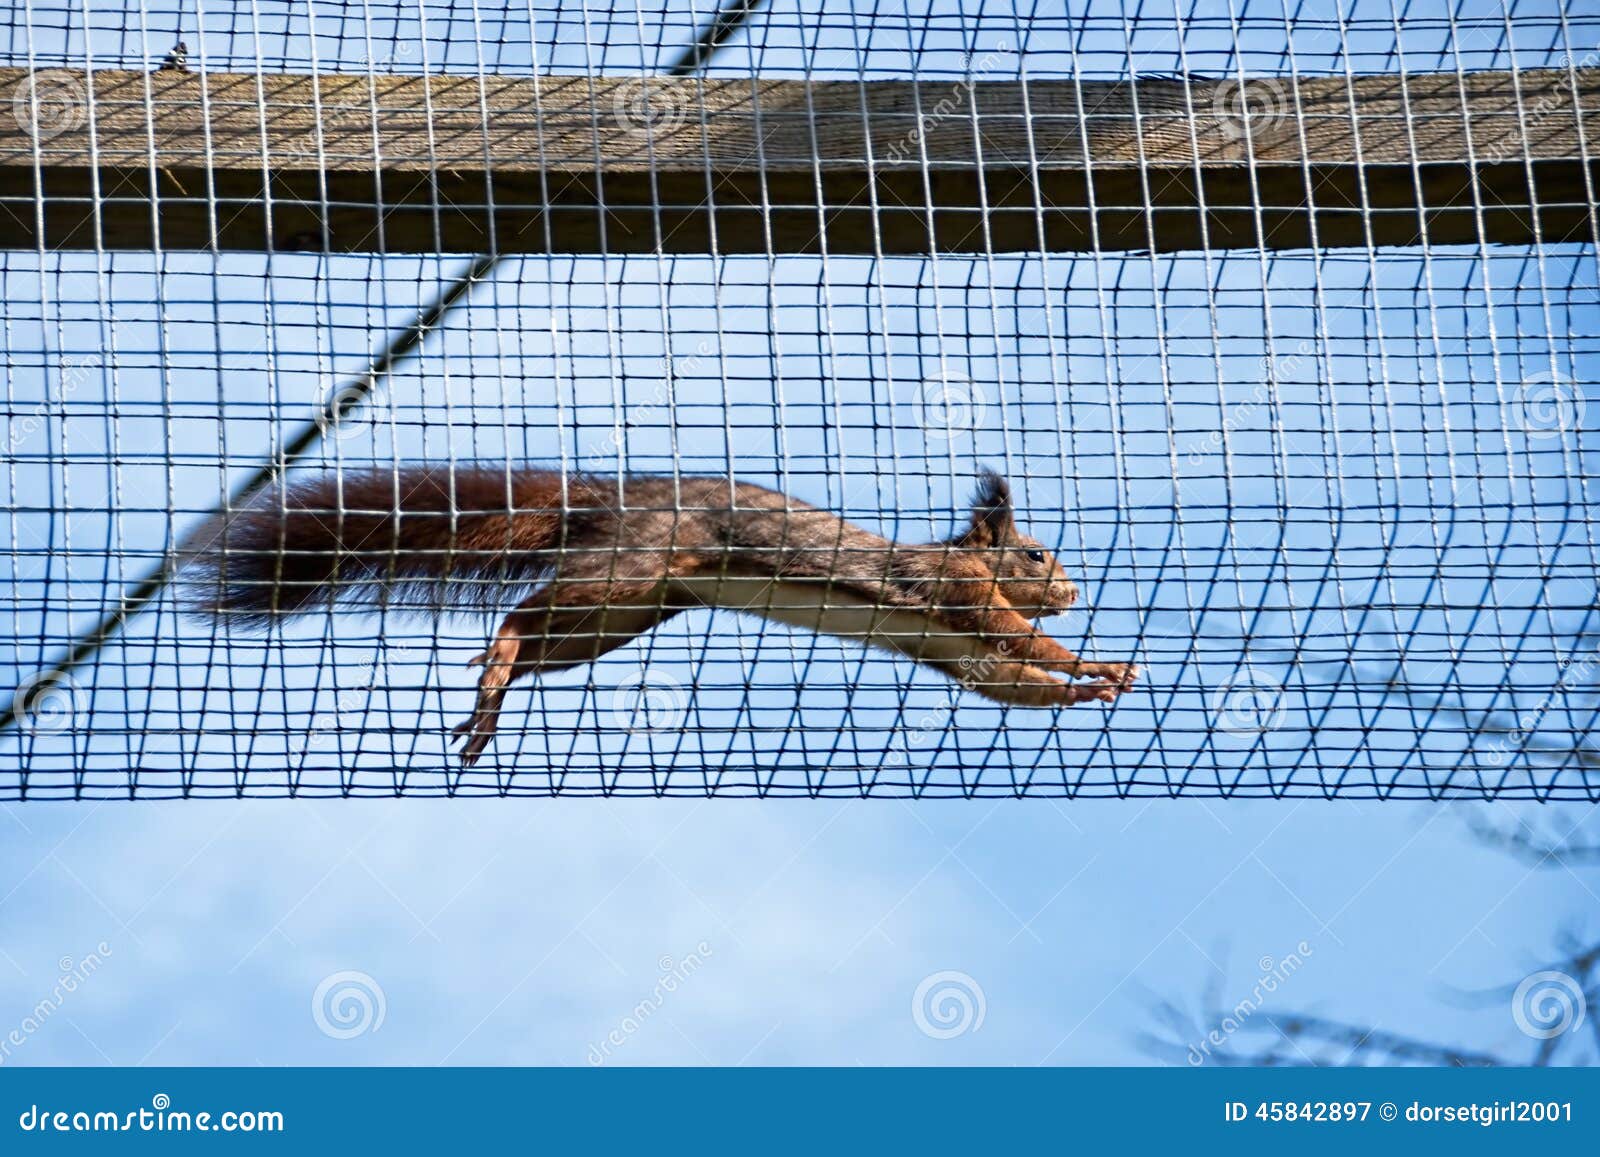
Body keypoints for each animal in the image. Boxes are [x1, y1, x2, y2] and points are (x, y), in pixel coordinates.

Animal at [189, 466, 1140, 764]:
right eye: (1035, 556)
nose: (1073, 589)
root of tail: (613, 500)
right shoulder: (955, 589)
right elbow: (1020, 639)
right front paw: (1097, 661)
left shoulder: (952, 645)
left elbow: (1008, 680)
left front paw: (1088, 692)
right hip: (625, 570)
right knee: (523, 616)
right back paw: (492, 665)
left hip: (625, 614)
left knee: (544, 642)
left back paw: (494, 701)